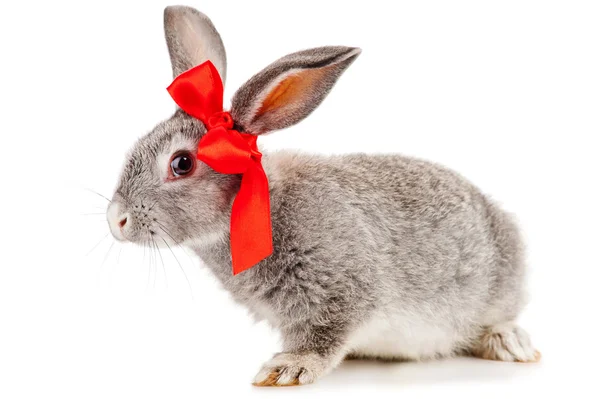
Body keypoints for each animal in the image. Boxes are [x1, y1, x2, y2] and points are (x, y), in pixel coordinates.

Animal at [105, 4, 540, 388]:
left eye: (182, 163)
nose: (116, 221)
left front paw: (287, 368)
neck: (256, 204)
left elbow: (325, 335)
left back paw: (510, 343)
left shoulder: (342, 292)